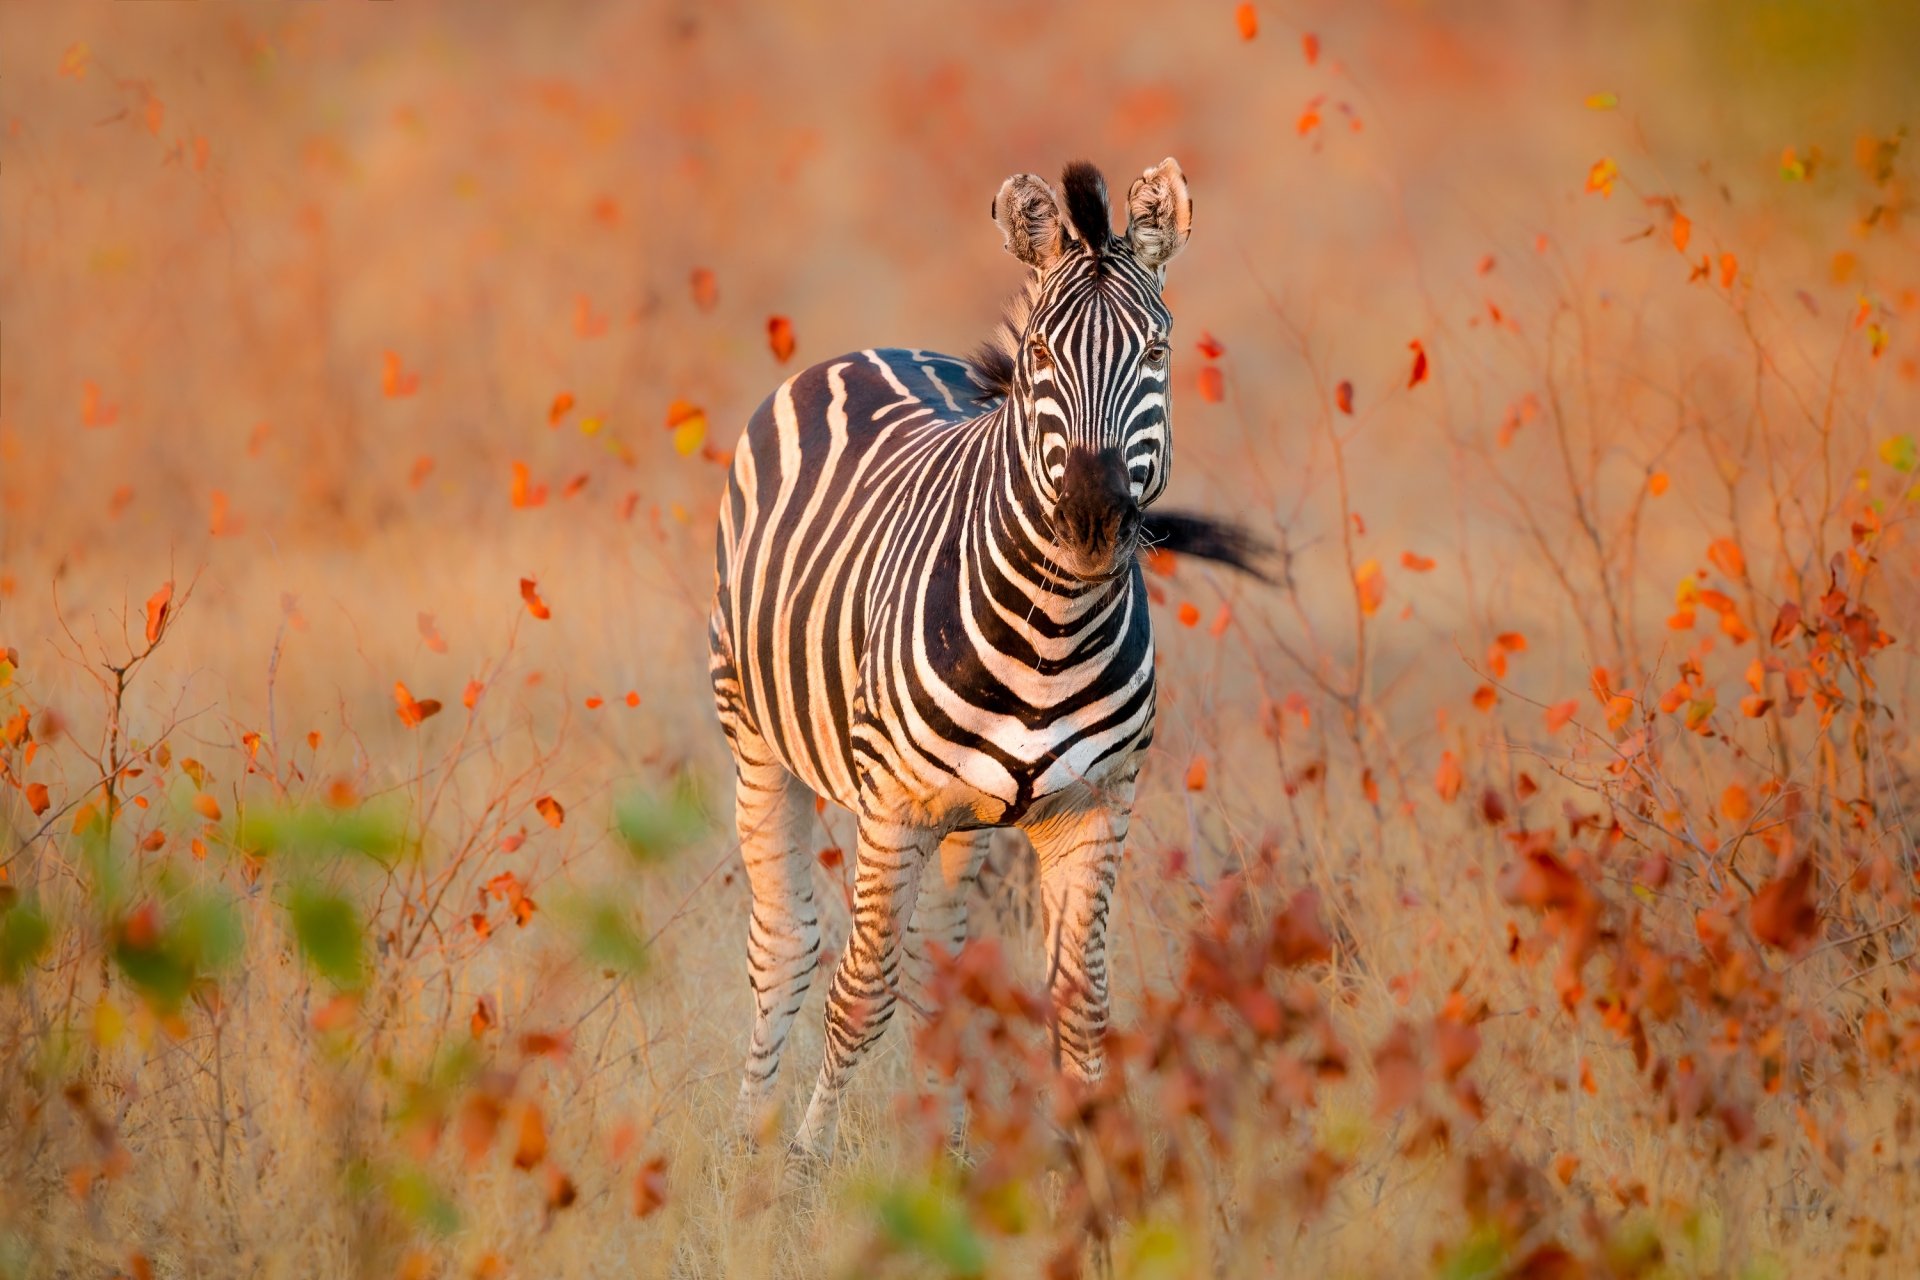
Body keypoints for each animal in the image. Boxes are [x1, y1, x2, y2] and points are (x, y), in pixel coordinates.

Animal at [708, 158, 1264, 1161]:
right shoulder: (893, 809)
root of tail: (878, 350)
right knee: (786, 947)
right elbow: (860, 996)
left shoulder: (1097, 808)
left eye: (1157, 354)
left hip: (963, 819)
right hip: (757, 741)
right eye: (1042, 354)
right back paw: (747, 1150)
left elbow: (1078, 1003)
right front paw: (804, 1171)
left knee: (943, 959)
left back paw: (950, 1151)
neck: (1052, 633)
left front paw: (1099, 1177)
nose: (1091, 518)